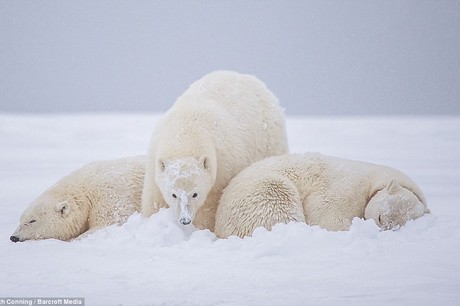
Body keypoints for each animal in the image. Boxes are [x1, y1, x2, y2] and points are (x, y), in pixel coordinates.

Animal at [142, 70, 290, 231]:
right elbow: (153, 197)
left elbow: (210, 205)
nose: (185, 220)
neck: (185, 130)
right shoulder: (155, 154)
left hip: (270, 139)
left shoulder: (222, 166)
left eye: (195, 194)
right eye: (174, 194)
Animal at [214, 152, 430, 238]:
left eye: (397, 227)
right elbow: (327, 214)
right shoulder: (348, 187)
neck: (377, 181)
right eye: (379, 217)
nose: (383, 230)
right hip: (261, 192)